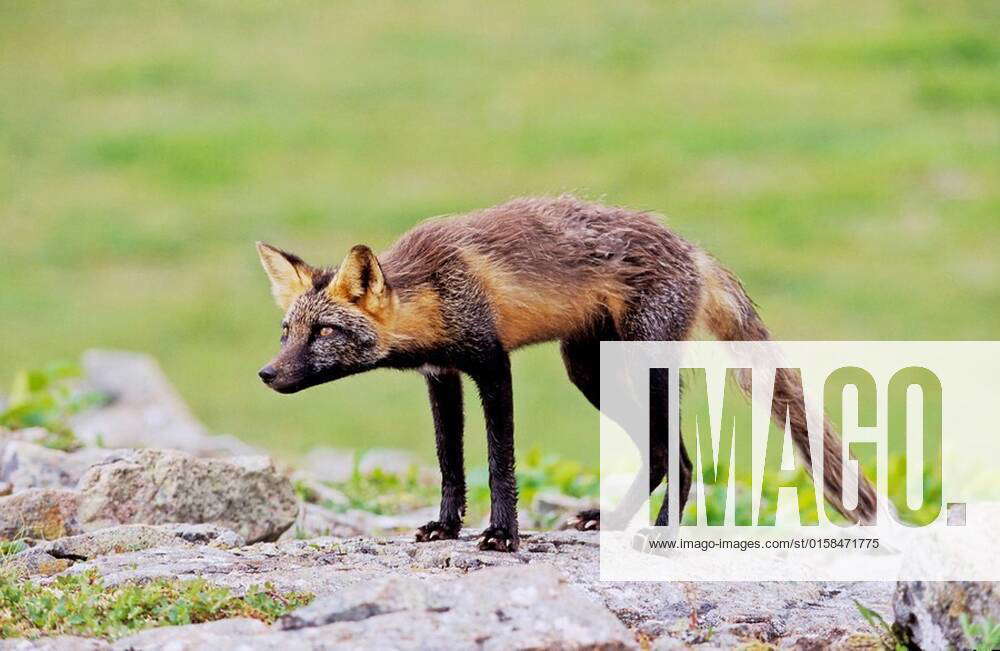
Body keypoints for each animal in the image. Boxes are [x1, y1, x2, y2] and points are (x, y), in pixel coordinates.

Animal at [256, 195, 878, 551]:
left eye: (324, 333)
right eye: (287, 332)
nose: (266, 373)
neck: (433, 289)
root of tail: (693, 249)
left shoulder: (491, 366)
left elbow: (499, 463)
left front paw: (502, 534)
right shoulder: (442, 376)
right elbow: (450, 465)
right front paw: (446, 529)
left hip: (645, 369)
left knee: (681, 458)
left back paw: (660, 533)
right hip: (588, 371)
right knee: (660, 455)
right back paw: (612, 520)